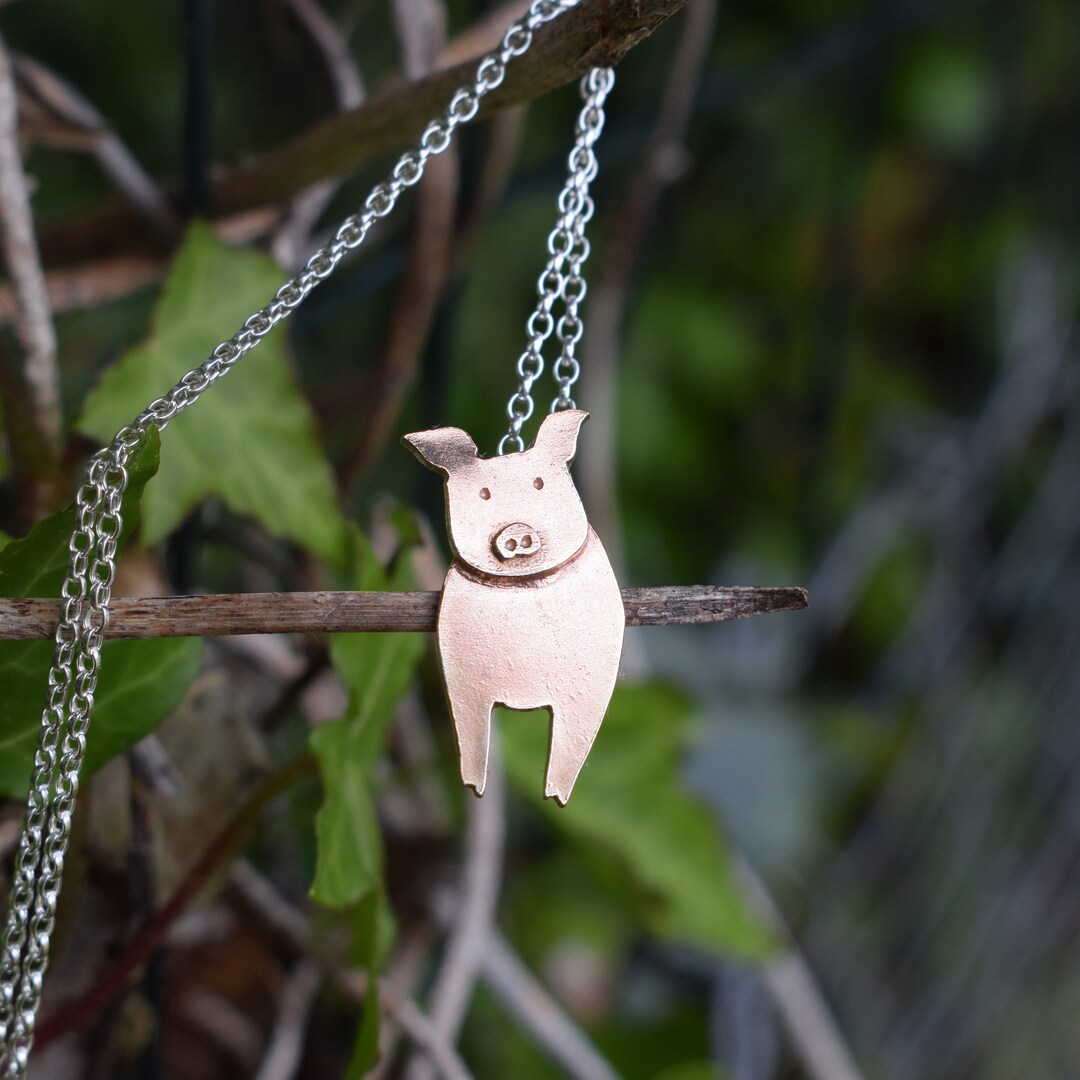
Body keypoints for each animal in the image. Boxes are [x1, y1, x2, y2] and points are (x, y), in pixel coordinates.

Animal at [403, 409, 624, 804]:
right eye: (484, 493)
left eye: (539, 483)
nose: (517, 535)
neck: (524, 587)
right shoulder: (465, 685)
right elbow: (470, 735)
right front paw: (474, 783)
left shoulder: (587, 692)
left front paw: (557, 792)